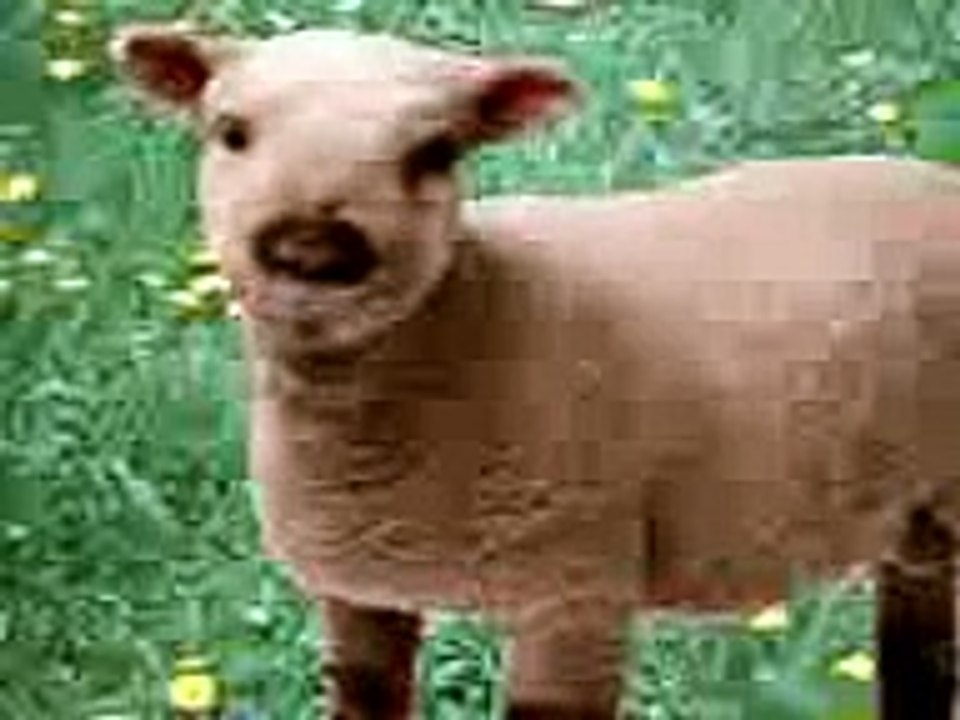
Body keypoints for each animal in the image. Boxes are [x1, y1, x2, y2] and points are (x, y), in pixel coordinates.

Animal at [111, 23, 960, 719]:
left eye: (436, 153)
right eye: (229, 132)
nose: (312, 254)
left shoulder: (575, 588)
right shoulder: (356, 590)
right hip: (917, 522)